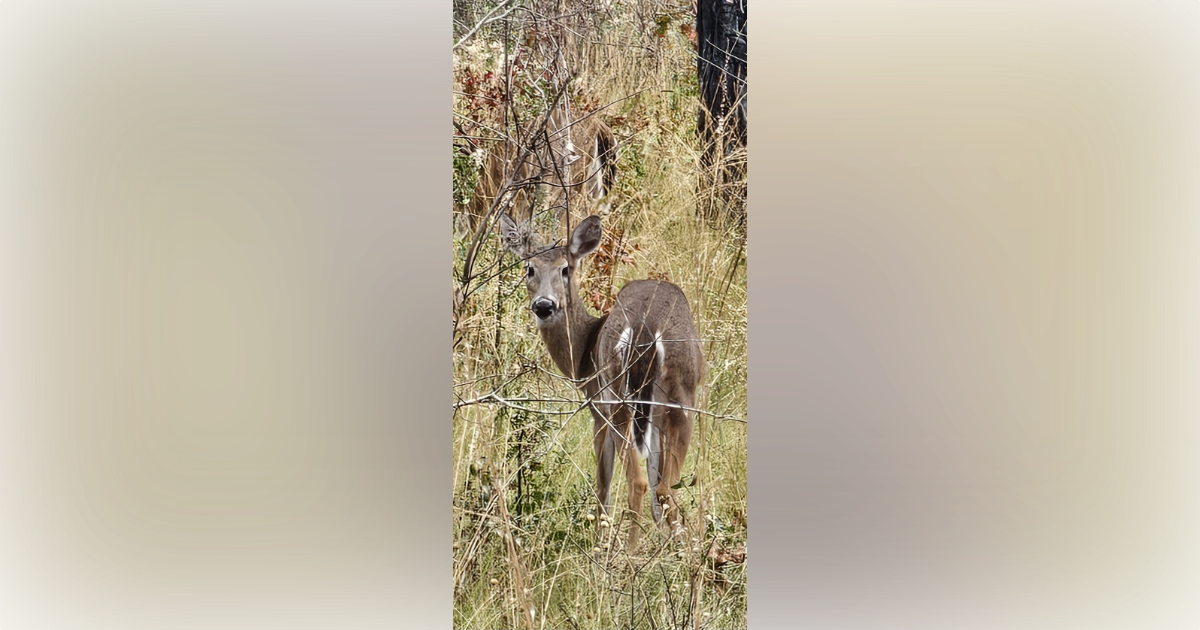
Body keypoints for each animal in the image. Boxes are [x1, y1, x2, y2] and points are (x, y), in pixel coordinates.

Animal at [499, 213, 704, 551]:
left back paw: (629, 554)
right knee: (665, 488)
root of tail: (646, 329)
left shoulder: (597, 410)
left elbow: (603, 487)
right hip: (681, 396)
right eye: (530, 268)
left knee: (638, 482)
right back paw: (682, 554)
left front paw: (600, 540)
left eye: (565, 268)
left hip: (619, 399)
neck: (584, 353)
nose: (544, 305)